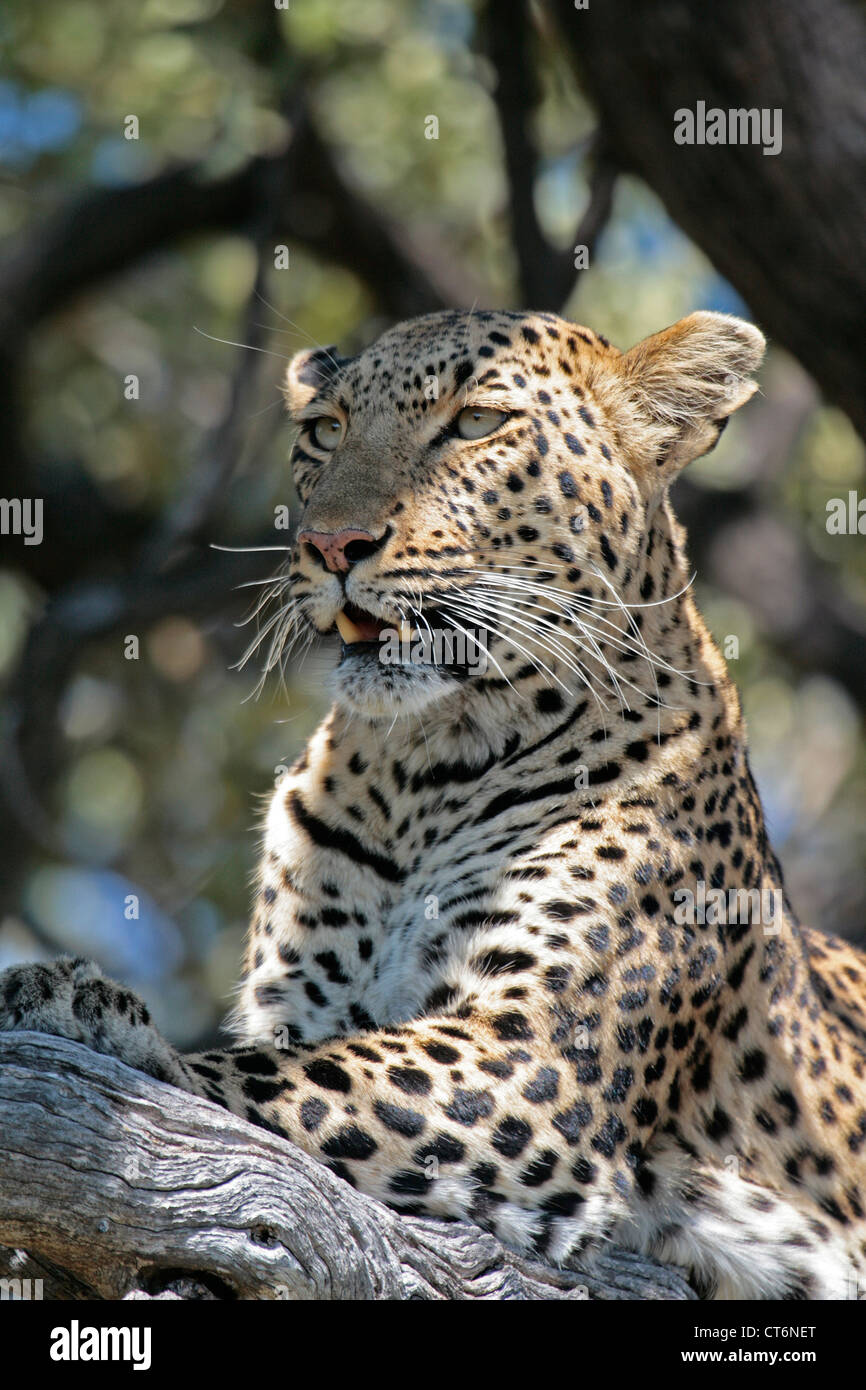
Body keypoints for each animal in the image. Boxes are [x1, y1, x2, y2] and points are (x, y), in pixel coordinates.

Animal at [3, 307, 866, 1300]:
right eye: (324, 431)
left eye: (476, 423)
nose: (331, 545)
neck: (424, 768)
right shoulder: (316, 1001)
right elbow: (301, 1053)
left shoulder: (531, 1061)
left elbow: (289, 1077)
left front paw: (95, 1016)